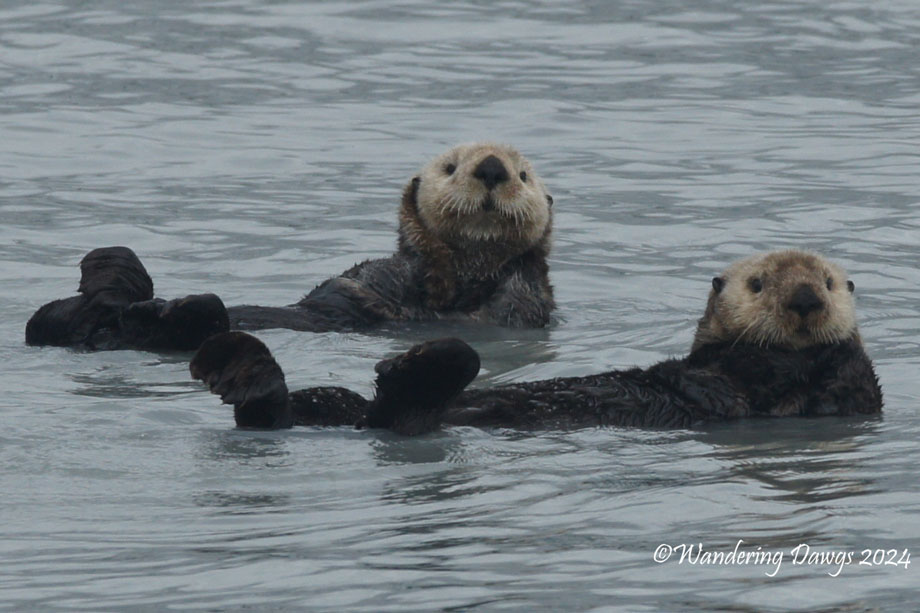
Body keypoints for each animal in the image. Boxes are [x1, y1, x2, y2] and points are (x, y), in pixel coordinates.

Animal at [26, 143, 554, 351]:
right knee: (49, 322)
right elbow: (358, 282)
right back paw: (112, 269)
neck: (460, 278)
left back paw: (165, 305)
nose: (492, 168)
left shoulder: (524, 302)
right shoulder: (388, 269)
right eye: (449, 167)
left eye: (523, 175)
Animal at [190, 250, 883, 433]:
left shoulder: (834, 395)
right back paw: (232, 366)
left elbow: (836, 384)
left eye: (827, 281)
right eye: (760, 283)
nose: (805, 300)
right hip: (335, 407)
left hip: (400, 411)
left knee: (398, 408)